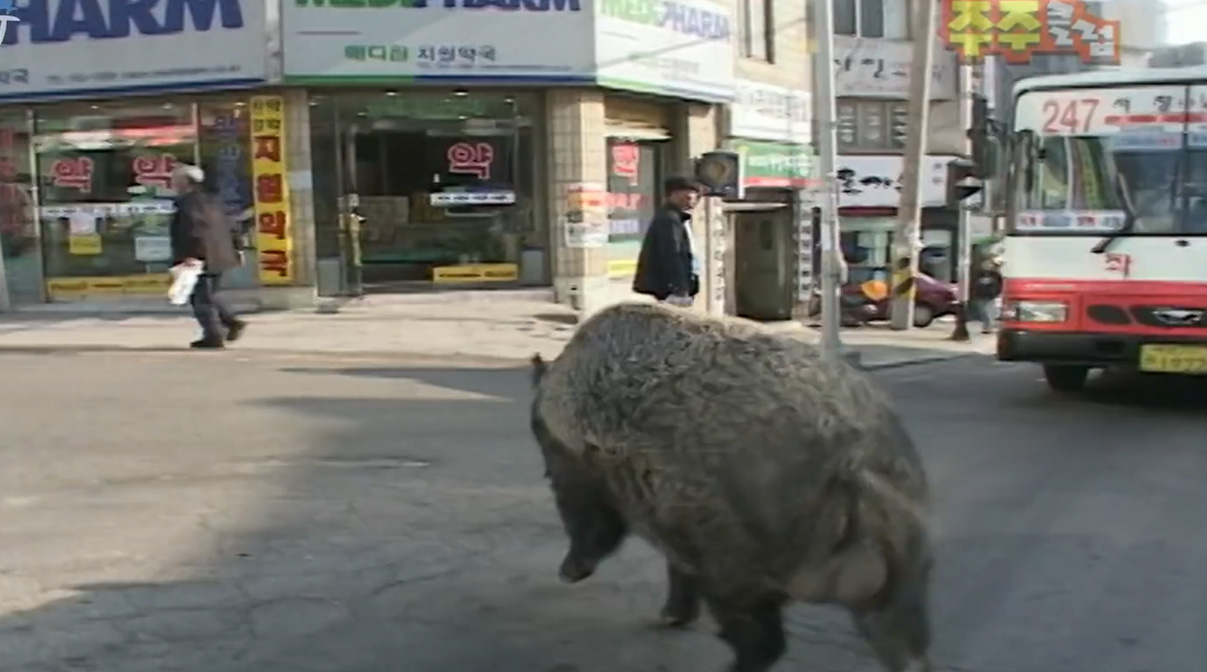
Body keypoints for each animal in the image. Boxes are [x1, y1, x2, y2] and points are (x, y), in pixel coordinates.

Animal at [528, 302, 934, 672]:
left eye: (538, 434)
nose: (543, 475)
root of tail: (856, 457)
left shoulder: (581, 475)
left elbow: (588, 522)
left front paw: (568, 573)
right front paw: (668, 616)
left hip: (731, 556)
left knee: (763, 642)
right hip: (906, 570)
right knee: (908, 649)